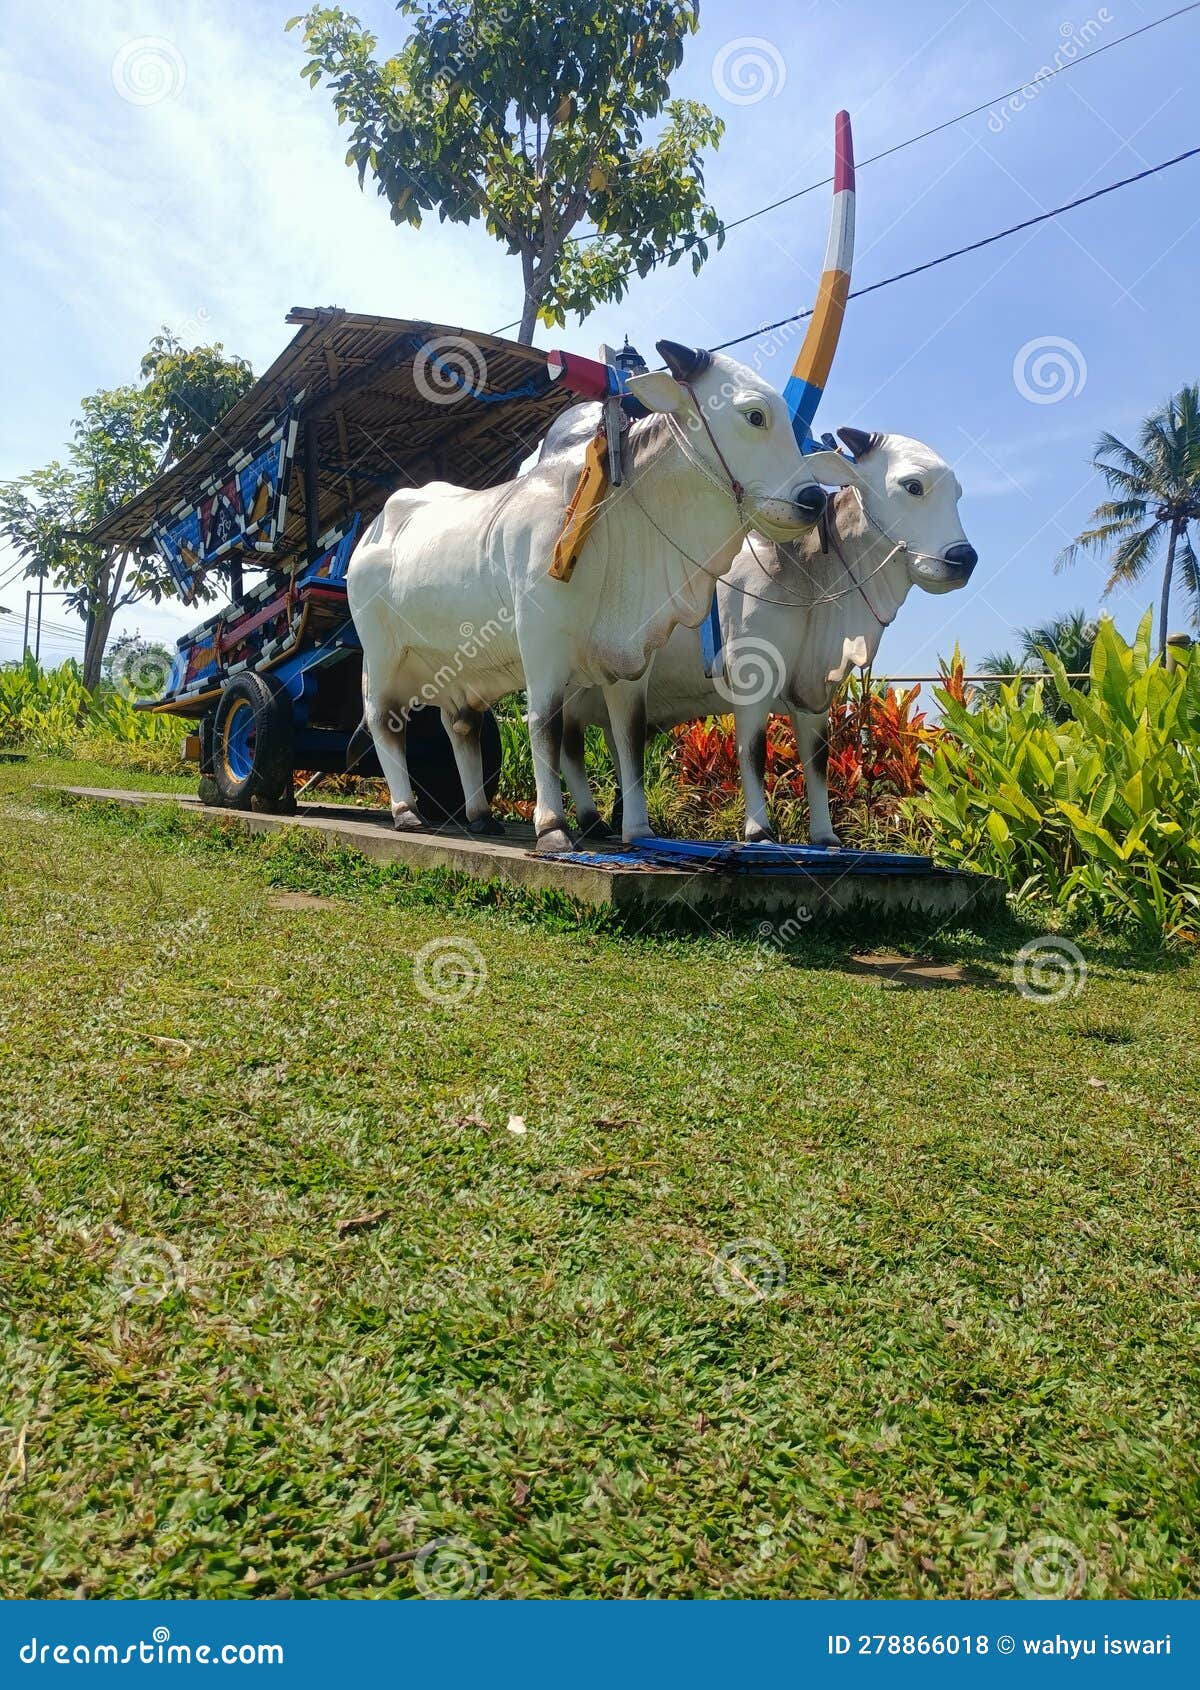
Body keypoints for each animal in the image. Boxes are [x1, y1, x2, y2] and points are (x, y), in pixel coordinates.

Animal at [346, 341, 846, 854]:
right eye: (754, 416)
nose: (813, 500)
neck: (620, 523)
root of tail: (371, 529)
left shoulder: (632, 657)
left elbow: (629, 738)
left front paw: (638, 830)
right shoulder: (541, 642)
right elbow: (544, 727)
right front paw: (553, 827)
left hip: (454, 667)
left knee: (461, 726)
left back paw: (480, 815)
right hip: (382, 654)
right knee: (385, 721)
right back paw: (406, 811)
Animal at [558, 427, 977, 847]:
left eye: (958, 494)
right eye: (913, 486)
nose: (965, 560)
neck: (811, 576)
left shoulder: (815, 693)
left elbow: (817, 760)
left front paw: (825, 837)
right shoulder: (752, 679)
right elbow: (754, 752)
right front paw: (759, 830)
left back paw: (606, 822)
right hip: (614, 674)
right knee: (605, 743)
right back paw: (620, 825)